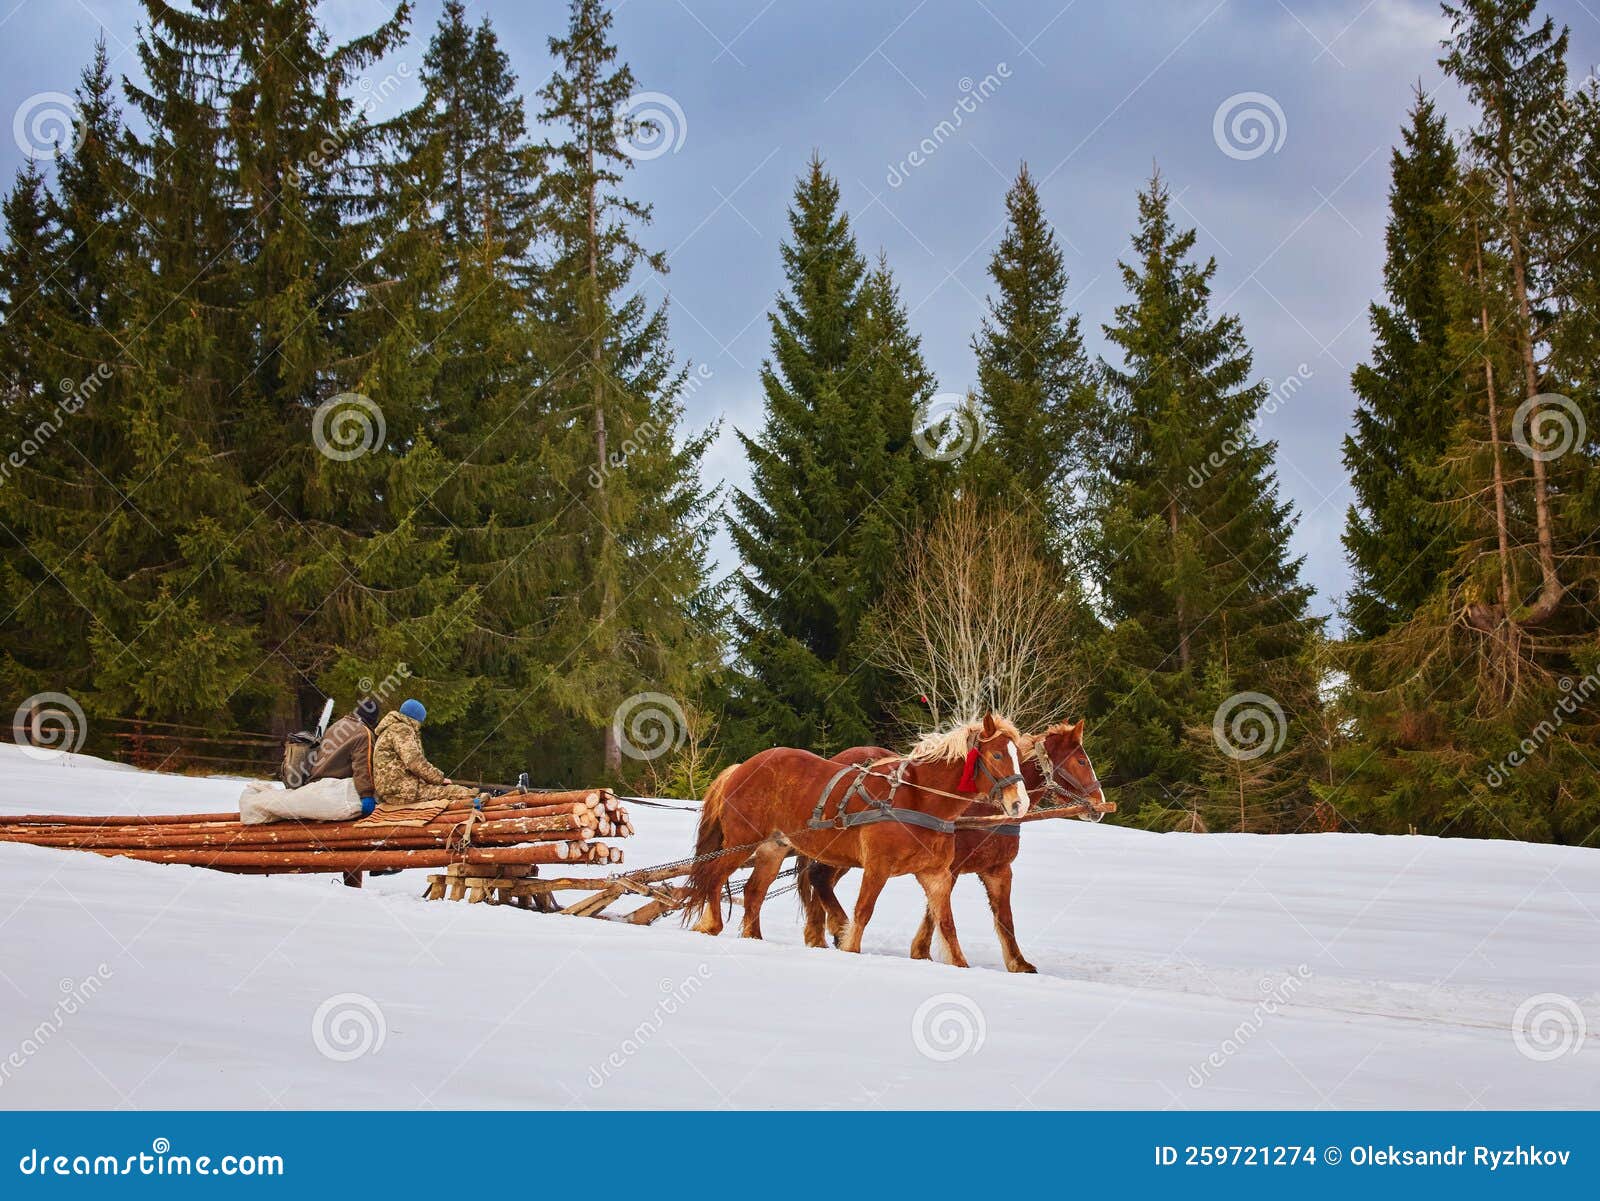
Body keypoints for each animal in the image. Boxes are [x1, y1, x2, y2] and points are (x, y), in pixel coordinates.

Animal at [682, 714, 1032, 967]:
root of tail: (743, 766)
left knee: (753, 892)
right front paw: (848, 947)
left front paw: (961, 965)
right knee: (714, 876)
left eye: (1019, 756)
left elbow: (946, 922)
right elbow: (864, 911)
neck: (919, 798)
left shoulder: (937, 874)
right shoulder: (877, 866)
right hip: (741, 842)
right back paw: (710, 925)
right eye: (997, 754)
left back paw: (753, 937)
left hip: (773, 848)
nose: (1020, 804)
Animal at [799, 719, 1105, 973]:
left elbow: (1004, 918)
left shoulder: (997, 869)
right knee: (818, 876)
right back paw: (832, 929)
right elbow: (935, 913)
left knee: (818, 879)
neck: (986, 809)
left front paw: (1019, 963)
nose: (1100, 803)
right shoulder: (951, 866)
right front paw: (921, 950)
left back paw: (818, 933)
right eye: (1081, 761)